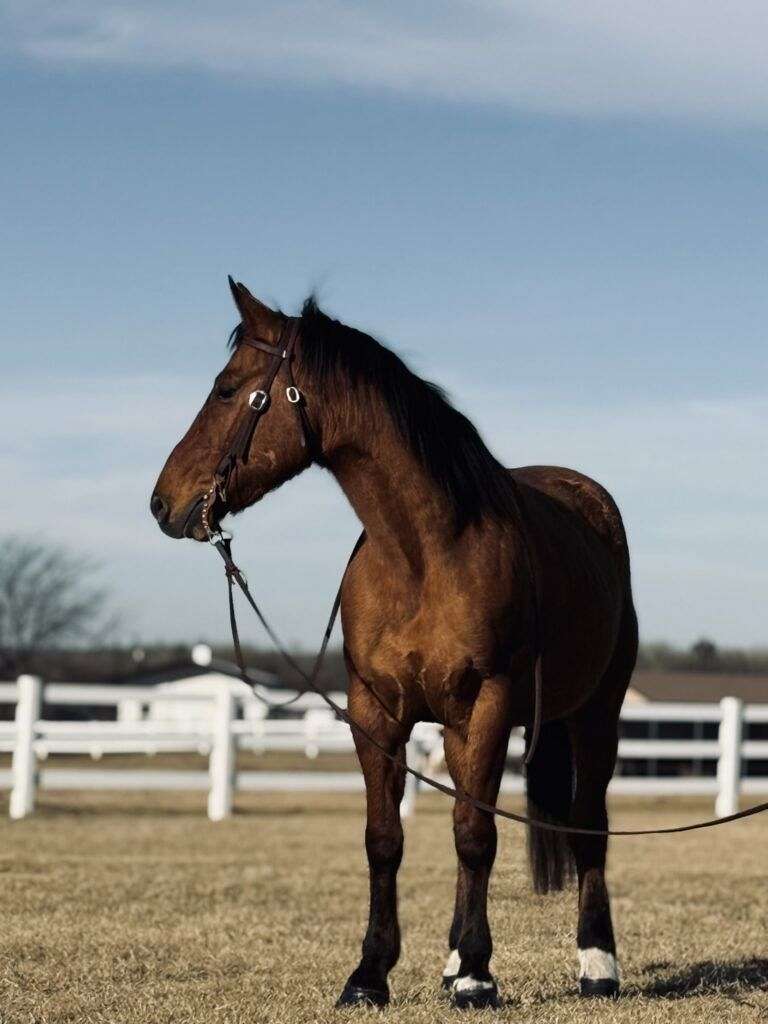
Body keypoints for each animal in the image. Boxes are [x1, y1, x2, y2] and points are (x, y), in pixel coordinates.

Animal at [150, 279, 638, 1009]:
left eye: (228, 390)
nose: (162, 503)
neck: (423, 553)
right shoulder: (375, 711)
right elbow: (386, 839)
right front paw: (370, 975)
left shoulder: (486, 706)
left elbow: (475, 835)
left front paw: (477, 976)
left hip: (593, 717)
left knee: (586, 828)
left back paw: (595, 965)